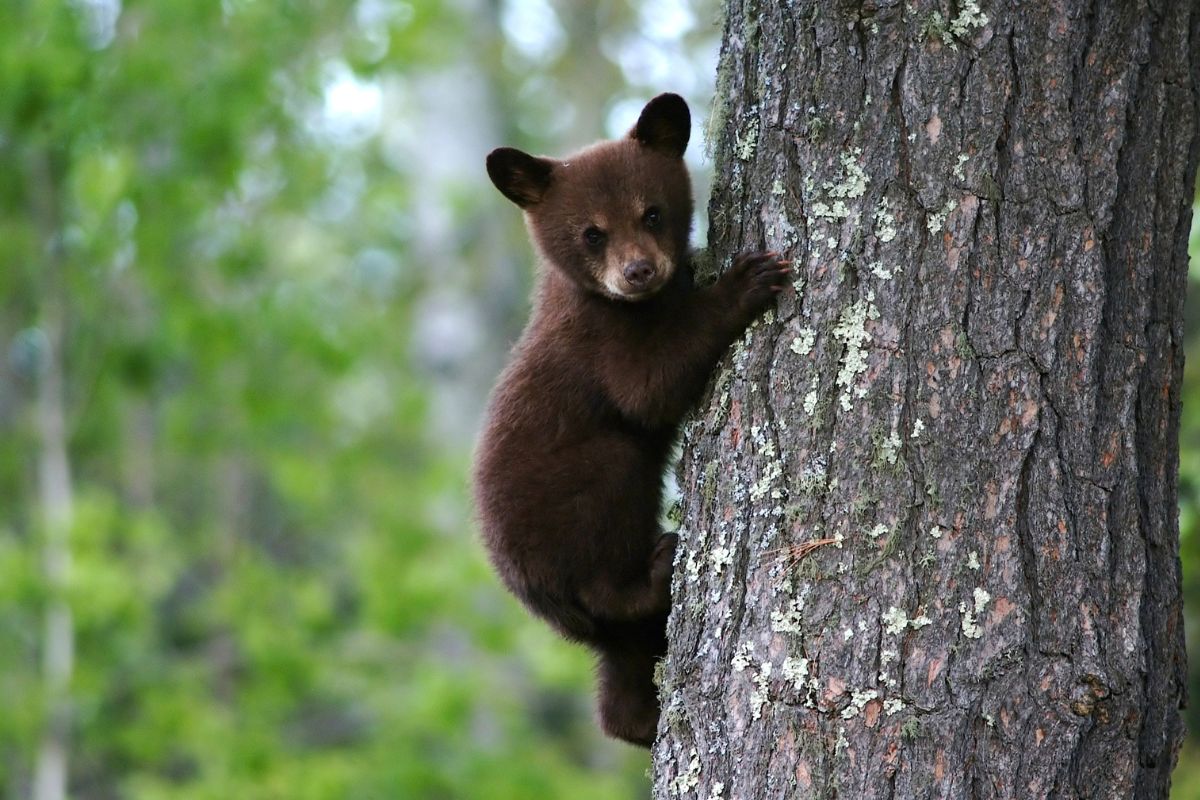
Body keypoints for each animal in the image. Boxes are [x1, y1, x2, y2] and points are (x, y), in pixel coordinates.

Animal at [472, 93, 790, 748]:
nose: (638, 271)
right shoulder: (599, 342)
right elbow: (649, 388)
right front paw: (745, 281)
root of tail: (537, 599)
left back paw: (639, 720)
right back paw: (658, 565)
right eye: (592, 233)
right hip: (576, 504)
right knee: (608, 547)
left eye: (652, 213)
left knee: (621, 672)